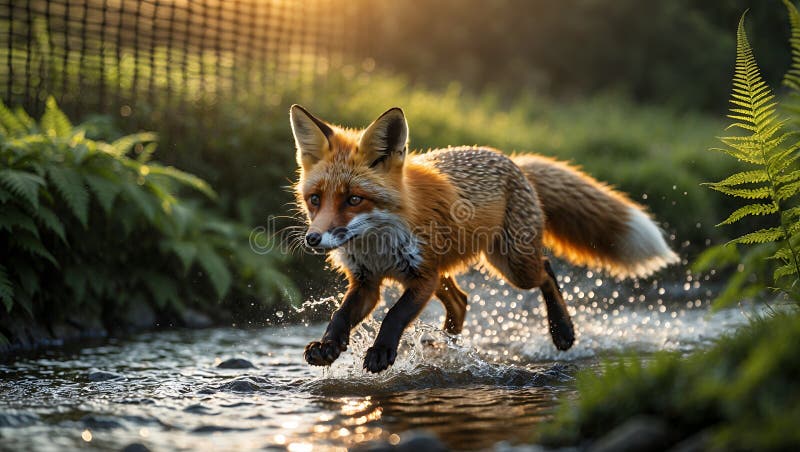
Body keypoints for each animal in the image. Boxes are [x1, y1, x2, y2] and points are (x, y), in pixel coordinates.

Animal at [289, 105, 679, 373]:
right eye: (316, 199)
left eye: (354, 199)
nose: (313, 239)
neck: (377, 245)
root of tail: (513, 161)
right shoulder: (367, 281)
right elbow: (340, 316)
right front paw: (328, 347)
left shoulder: (421, 277)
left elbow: (395, 317)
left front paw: (383, 351)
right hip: (453, 270)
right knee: (461, 300)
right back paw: (443, 345)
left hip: (512, 265)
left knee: (545, 270)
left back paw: (562, 331)